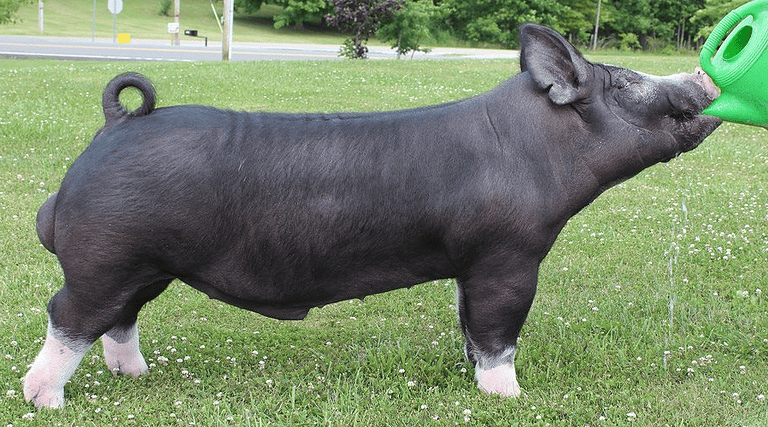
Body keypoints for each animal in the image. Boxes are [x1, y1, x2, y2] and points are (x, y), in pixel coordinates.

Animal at [23, 24, 721, 408]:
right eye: (626, 84)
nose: (703, 78)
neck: (534, 148)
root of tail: (119, 124)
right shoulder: (509, 254)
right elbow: (499, 328)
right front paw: (510, 396)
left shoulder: (468, 264)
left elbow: (469, 323)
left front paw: (472, 374)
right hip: (107, 253)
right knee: (69, 315)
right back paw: (46, 401)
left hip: (145, 264)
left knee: (119, 319)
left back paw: (140, 376)